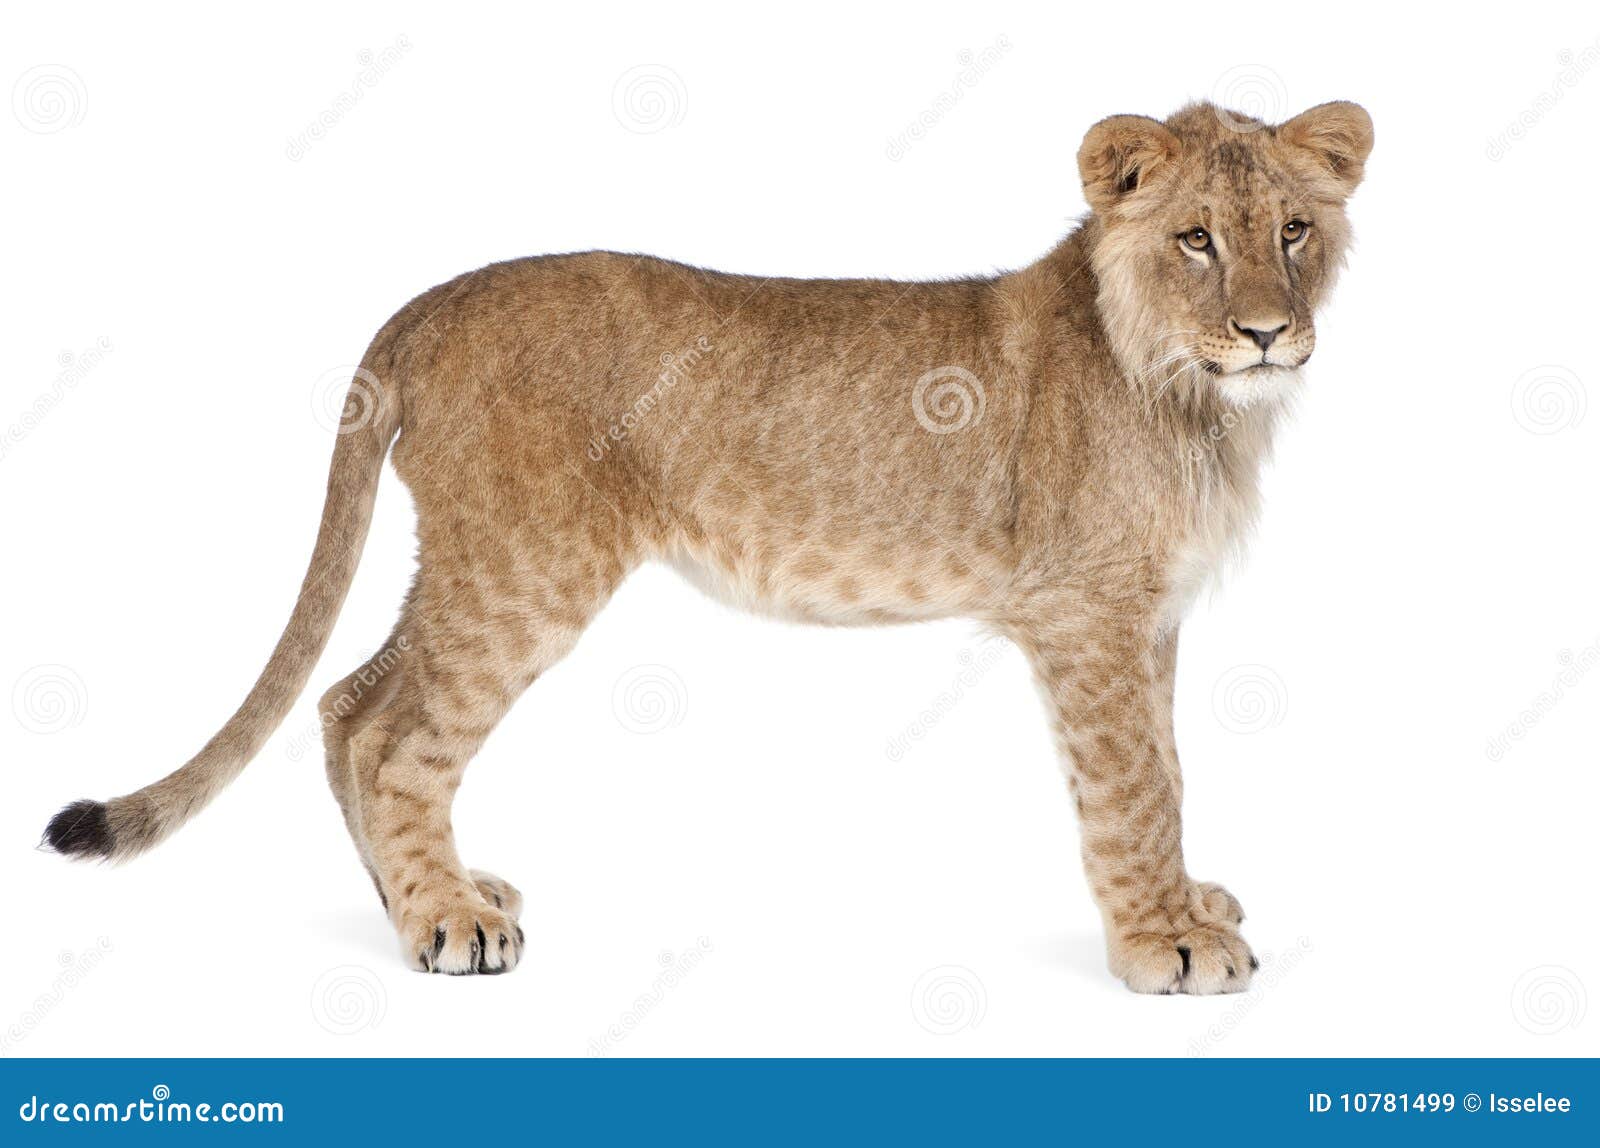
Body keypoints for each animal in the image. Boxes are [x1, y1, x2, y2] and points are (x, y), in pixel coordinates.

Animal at [44, 99, 1372, 993]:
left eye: (1294, 230)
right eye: (1196, 239)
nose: (1267, 332)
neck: (1198, 402)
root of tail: (432, 301)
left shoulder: (1146, 615)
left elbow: (1169, 770)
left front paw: (1188, 902)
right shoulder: (1083, 612)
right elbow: (1130, 782)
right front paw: (1166, 944)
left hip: (475, 557)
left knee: (345, 698)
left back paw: (424, 893)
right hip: (525, 563)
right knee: (390, 729)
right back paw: (446, 926)